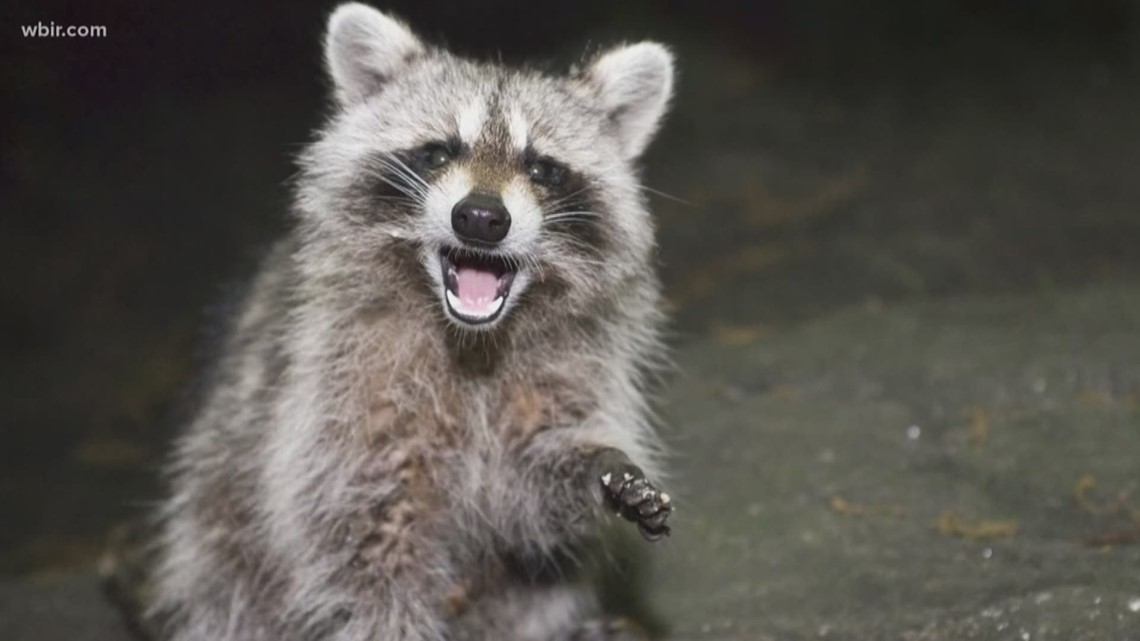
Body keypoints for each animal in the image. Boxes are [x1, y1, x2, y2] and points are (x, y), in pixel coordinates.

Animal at [135, 4, 676, 640]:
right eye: (438, 153)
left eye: (542, 168)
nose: (481, 218)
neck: (472, 339)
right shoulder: (336, 406)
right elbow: (365, 557)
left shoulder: (574, 369)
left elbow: (530, 496)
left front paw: (600, 469)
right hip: (215, 530)